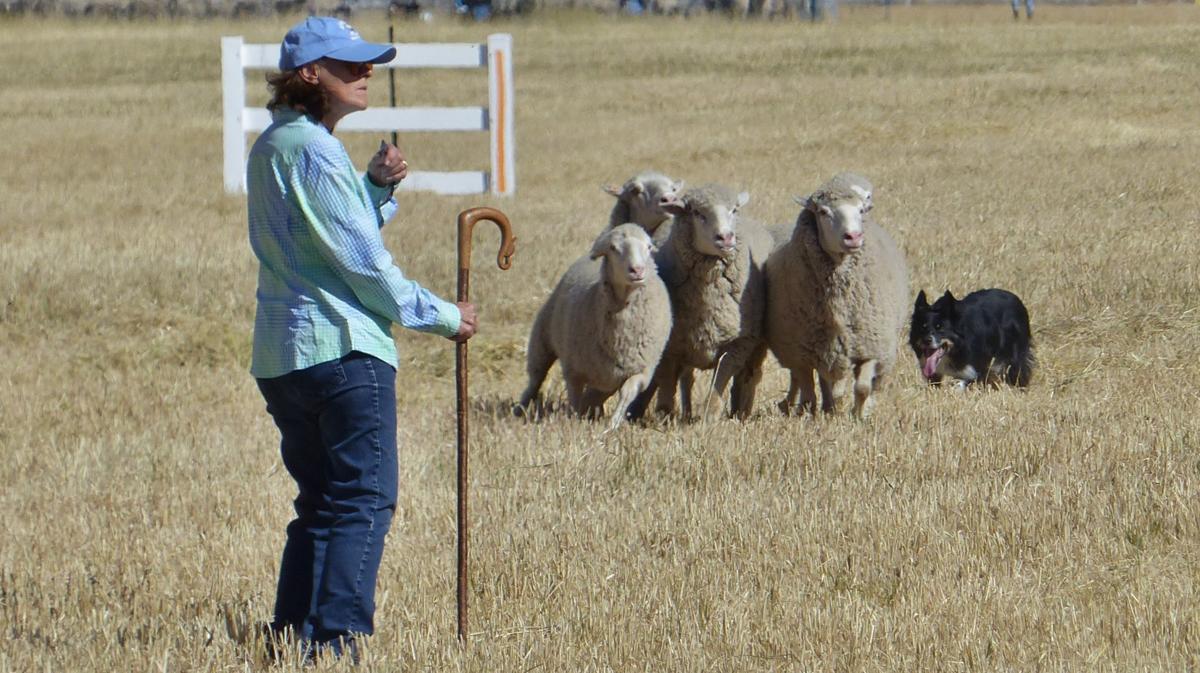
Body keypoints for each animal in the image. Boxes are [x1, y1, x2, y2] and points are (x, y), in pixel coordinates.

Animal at [517, 223, 672, 431]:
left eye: (648, 247)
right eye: (613, 248)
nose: (637, 270)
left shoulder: (641, 370)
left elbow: (627, 392)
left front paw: (613, 424)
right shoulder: (573, 369)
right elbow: (573, 396)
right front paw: (573, 420)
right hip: (542, 338)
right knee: (536, 378)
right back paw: (519, 408)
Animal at [640, 183, 774, 421]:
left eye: (733, 210)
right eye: (697, 213)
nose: (726, 237)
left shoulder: (738, 344)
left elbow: (719, 382)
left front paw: (710, 416)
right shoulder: (671, 346)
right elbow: (667, 381)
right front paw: (665, 414)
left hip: (756, 345)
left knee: (749, 376)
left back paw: (741, 412)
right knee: (686, 378)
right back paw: (686, 412)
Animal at [764, 172, 909, 418]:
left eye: (861, 210)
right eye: (823, 212)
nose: (853, 236)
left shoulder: (870, 345)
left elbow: (862, 387)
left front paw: (858, 415)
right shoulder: (801, 352)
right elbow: (809, 390)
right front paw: (808, 414)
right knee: (816, 382)